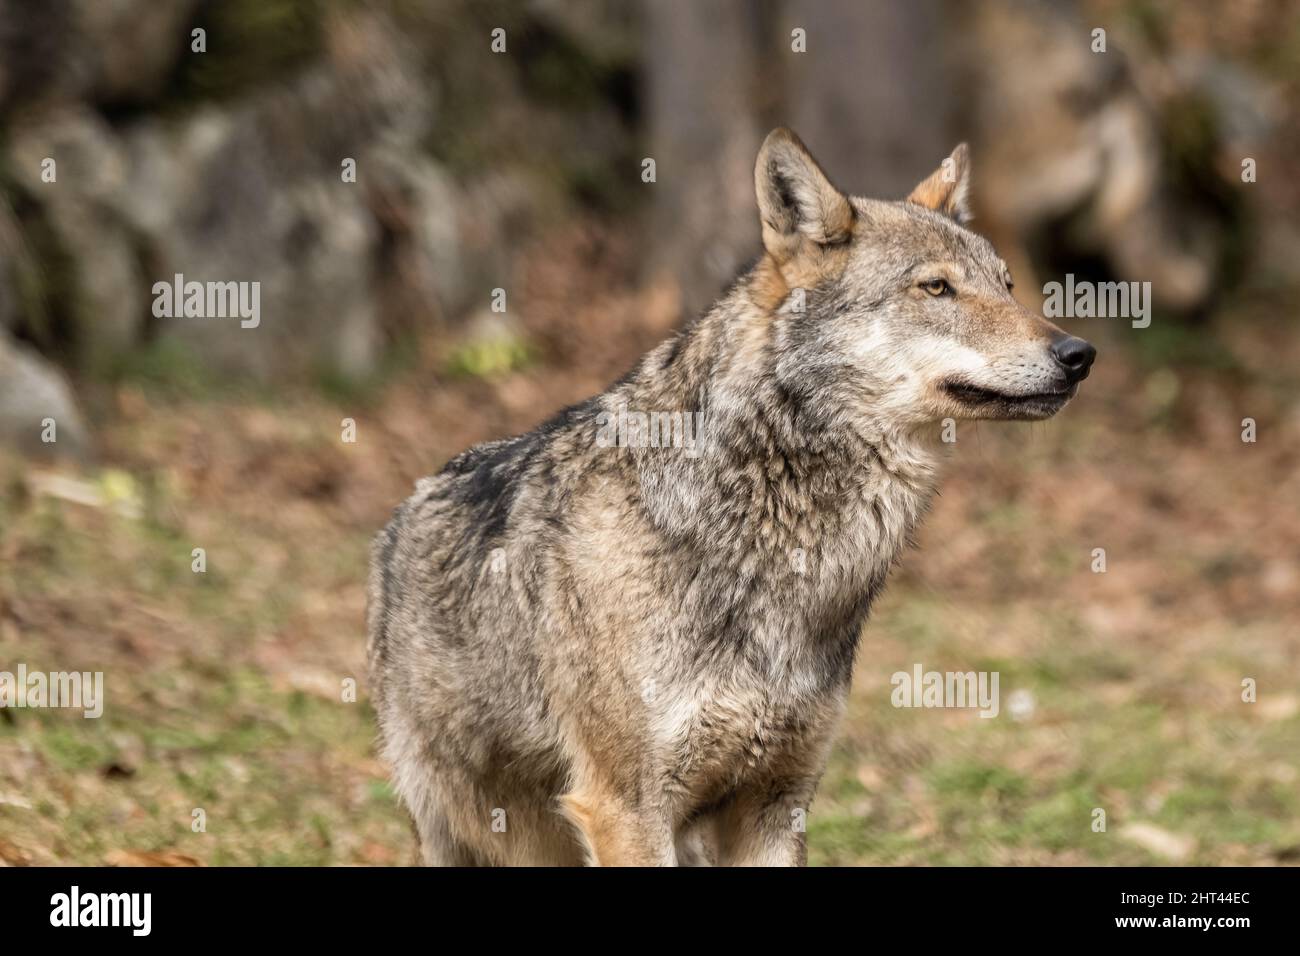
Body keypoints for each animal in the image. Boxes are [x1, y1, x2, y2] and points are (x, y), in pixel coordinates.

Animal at [367, 129, 1095, 866]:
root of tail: (406, 507)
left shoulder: (778, 801)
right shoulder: (625, 808)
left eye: (1007, 286)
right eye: (937, 288)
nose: (1079, 354)